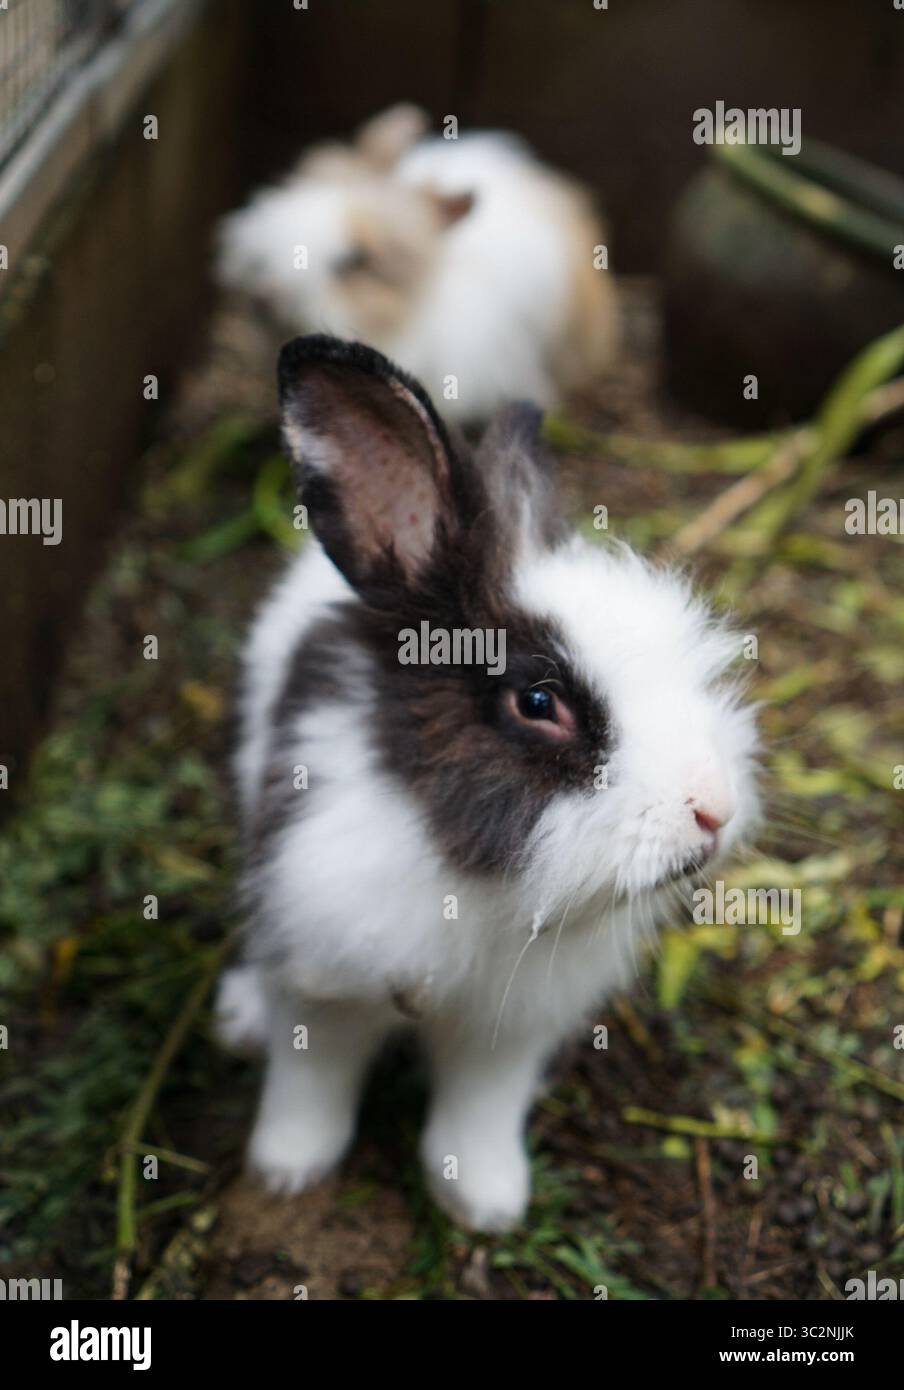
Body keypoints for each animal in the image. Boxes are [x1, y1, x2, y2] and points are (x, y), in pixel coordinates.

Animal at [215, 334, 761, 1232]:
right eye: (539, 704)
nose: (713, 813)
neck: (467, 872)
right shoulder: (320, 981)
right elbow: (311, 1084)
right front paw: (288, 1170)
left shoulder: (510, 1029)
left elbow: (479, 1107)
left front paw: (484, 1201)